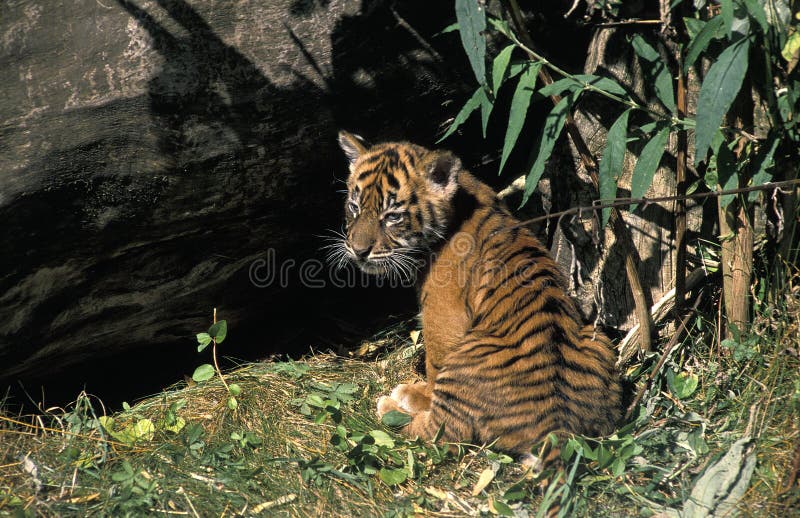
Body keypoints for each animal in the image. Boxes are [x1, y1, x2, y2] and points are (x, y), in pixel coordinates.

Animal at [332, 130, 622, 468]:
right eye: (354, 206)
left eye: (392, 216)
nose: (358, 251)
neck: (461, 200)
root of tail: (557, 426)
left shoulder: (442, 314)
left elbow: (433, 364)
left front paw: (421, 394)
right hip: (598, 340)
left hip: (464, 361)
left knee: (439, 433)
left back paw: (391, 405)